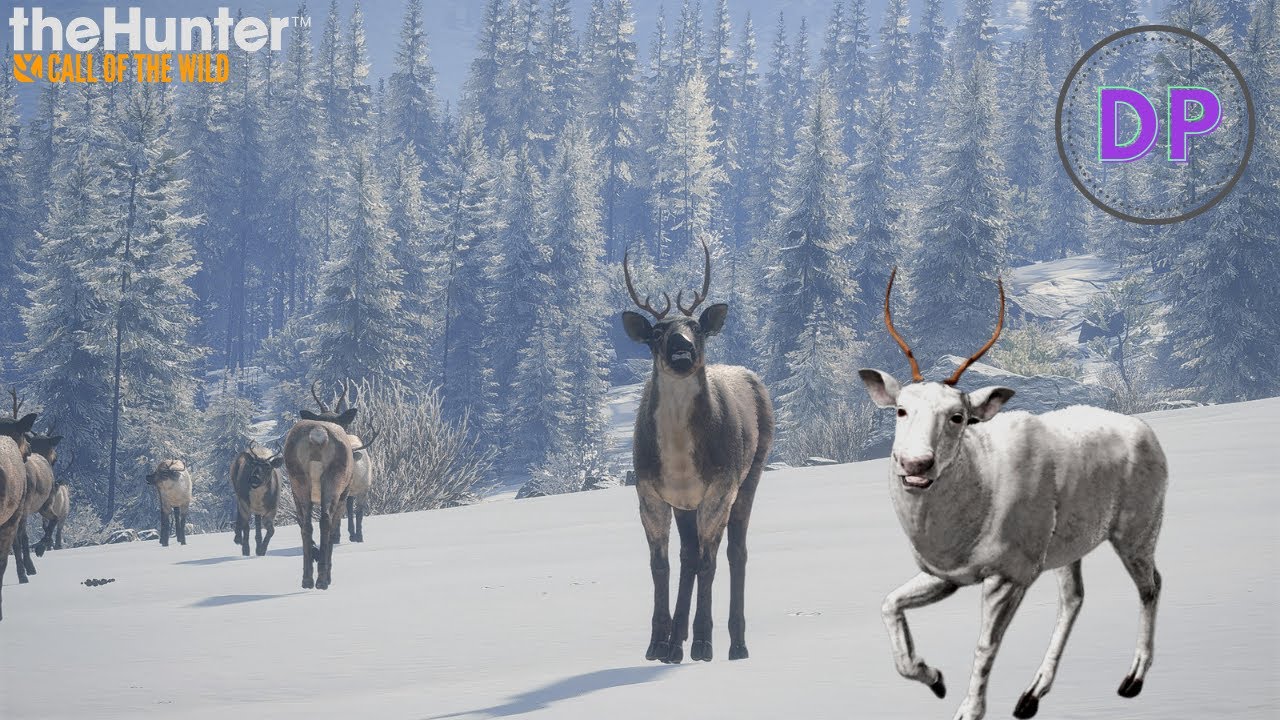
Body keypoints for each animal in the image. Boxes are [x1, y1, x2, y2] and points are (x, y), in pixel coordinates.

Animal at [282, 380, 364, 589]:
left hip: (298, 478)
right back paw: (323, 579)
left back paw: (307, 578)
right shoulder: (344, 493)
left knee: (306, 523)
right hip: (333, 479)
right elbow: (335, 527)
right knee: (326, 520)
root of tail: (318, 435)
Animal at [620, 239, 775, 664]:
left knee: (734, 551)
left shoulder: (720, 486)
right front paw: (657, 642)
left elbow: (709, 561)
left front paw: (704, 642)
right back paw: (676, 642)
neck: (678, 457)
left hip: (751, 472)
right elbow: (660, 564)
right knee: (688, 555)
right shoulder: (649, 490)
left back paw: (735, 644)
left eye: (696, 328)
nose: (681, 348)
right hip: (686, 502)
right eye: (657, 331)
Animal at [858, 269, 1168, 720]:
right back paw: (1030, 696)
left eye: (958, 416)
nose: (916, 465)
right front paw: (934, 678)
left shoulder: (1010, 574)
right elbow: (889, 603)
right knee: (1074, 597)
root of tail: (1148, 433)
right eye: (901, 410)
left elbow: (985, 645)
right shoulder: (946, 575)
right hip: (1067, 547)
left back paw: (1132, 681)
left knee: (1151, 584)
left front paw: (968, 710)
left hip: (1137, 530)